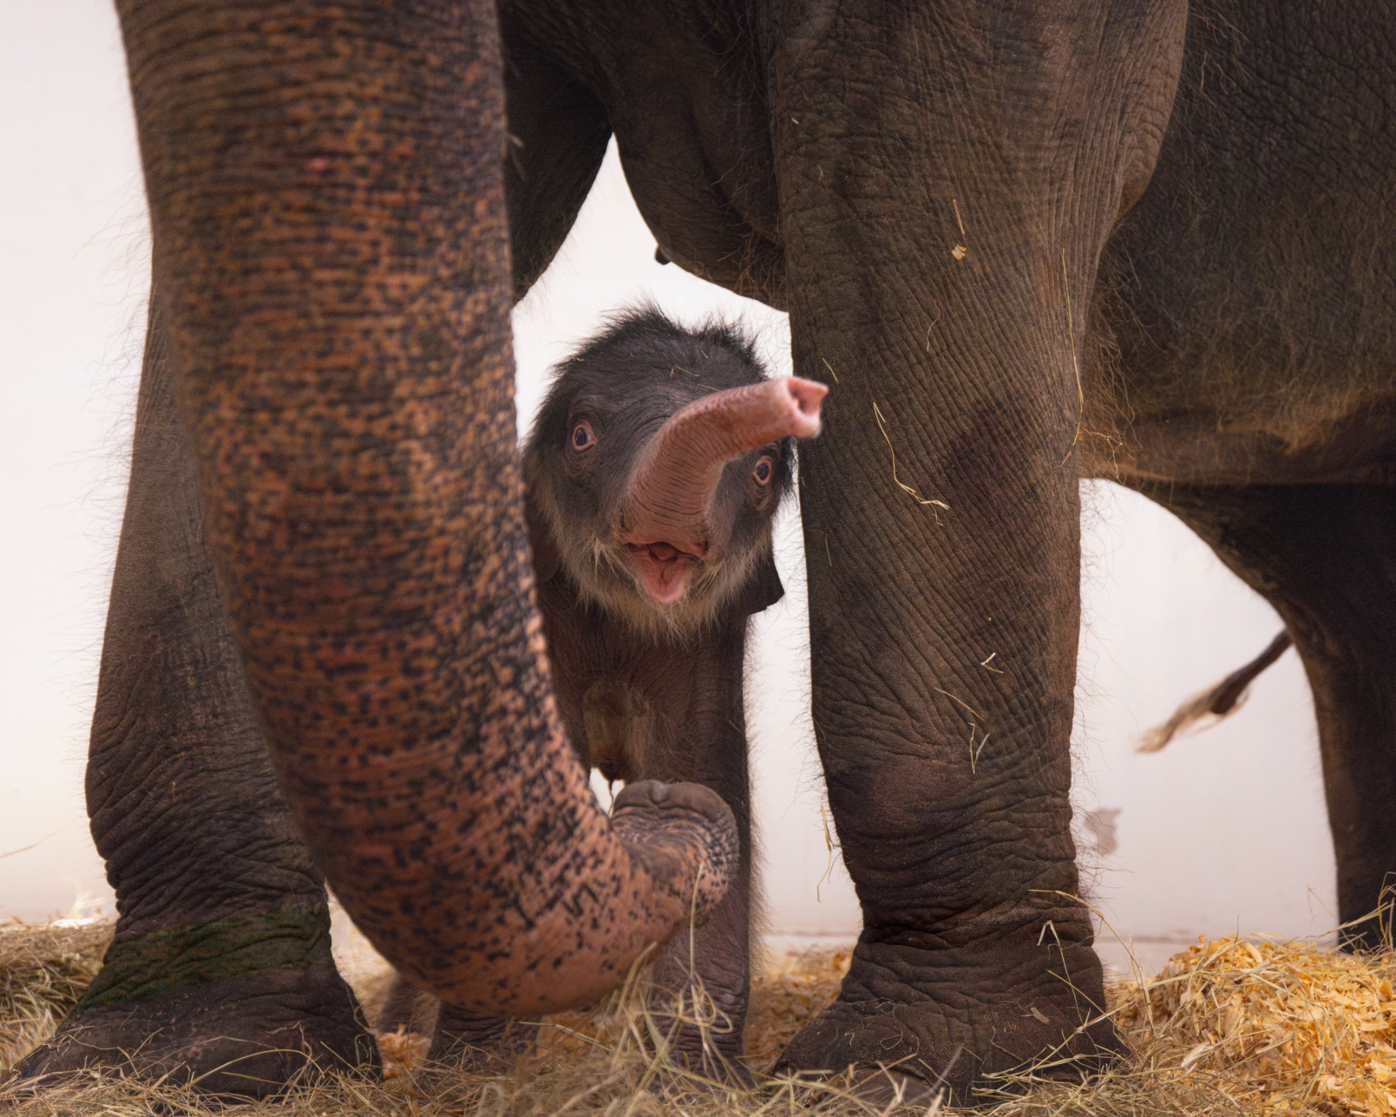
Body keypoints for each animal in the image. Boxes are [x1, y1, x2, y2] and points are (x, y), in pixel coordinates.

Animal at [379, 308, 825, 1075]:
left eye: (764, 470)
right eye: (582, 434)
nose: (804, 396)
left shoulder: (705, 647)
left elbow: (705, 771)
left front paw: (695, 1077)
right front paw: (481, 1072)